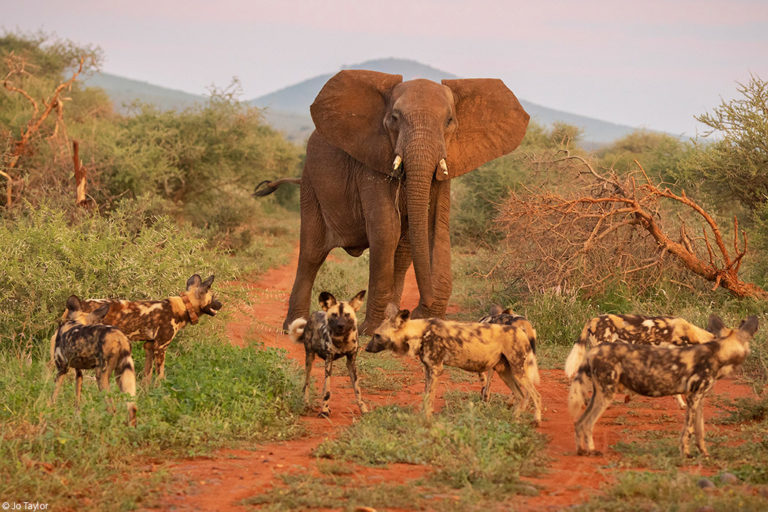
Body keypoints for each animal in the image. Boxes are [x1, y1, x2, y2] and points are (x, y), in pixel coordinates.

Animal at [256, 70, 529, 334]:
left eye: (449, 121)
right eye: (395, 118)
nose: (420, 309)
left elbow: (437, 228)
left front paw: (425, 320)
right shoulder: (372, 162)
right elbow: (386, 229)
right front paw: (371, 329)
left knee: (402, 253)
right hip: (311, 184)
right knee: (312, 254)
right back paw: (296, 326)